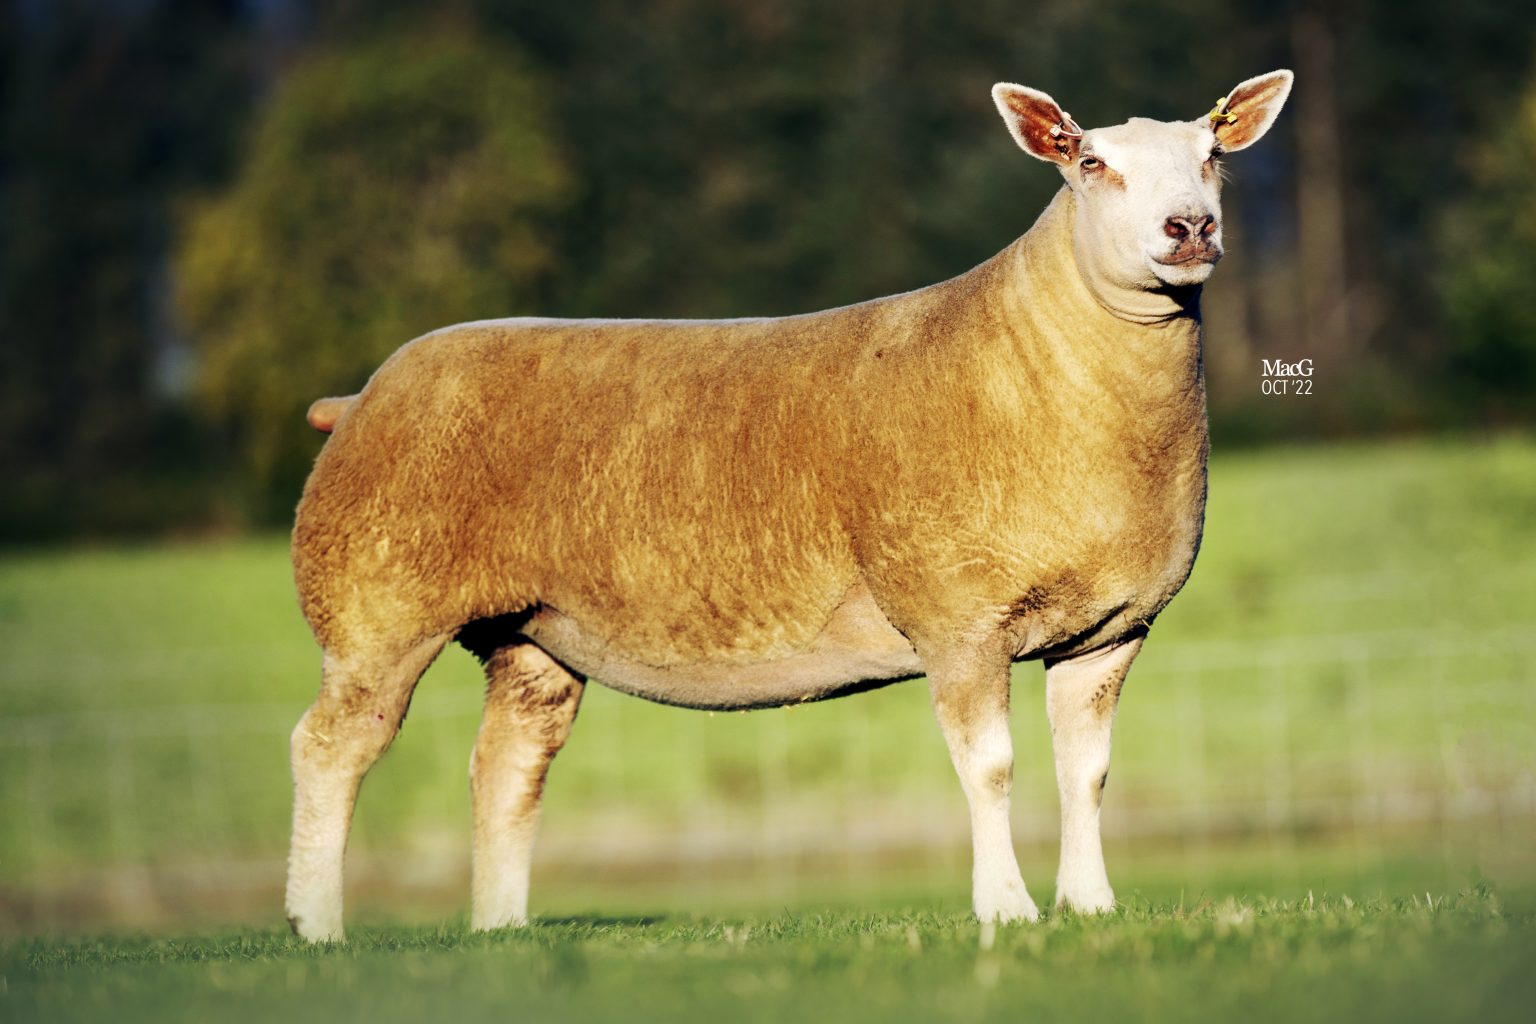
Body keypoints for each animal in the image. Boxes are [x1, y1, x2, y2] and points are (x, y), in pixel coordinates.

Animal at [283, 70, 1294, 942]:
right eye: (1090, 163)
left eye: (1213, 153)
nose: (1190, 225)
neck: (1041, 354)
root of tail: (358, 396)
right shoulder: (958, 617)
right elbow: (992, 766)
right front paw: (1006, 912)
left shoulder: (1110, 631)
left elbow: (1087, 772)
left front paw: (1090, 908)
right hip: (376, 601)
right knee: (330, 746)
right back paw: (316, 927)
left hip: (532, 631)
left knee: (506, 766)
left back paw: (500, 932)